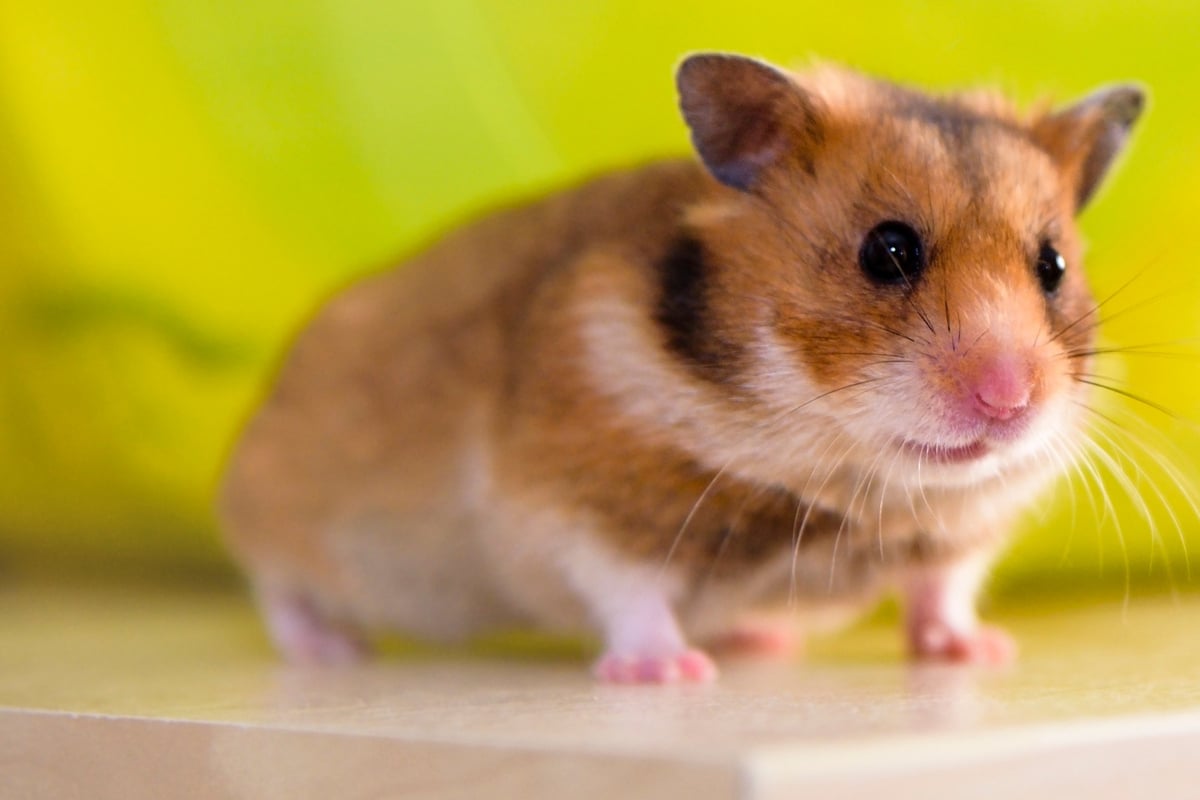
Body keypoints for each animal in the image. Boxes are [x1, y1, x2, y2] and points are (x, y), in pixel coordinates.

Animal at [220, 53, 1144, 683]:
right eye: (888, 251)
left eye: (1053, 265)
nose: (1011, 401)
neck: (841, 474)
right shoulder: (576, 502)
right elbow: (629, 592)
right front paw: (668, 674)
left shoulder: (957, 532)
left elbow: (941, 589)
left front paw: (982, 652)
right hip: (281, 509)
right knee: (276, 585)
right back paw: (330, 651)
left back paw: (757, 634)